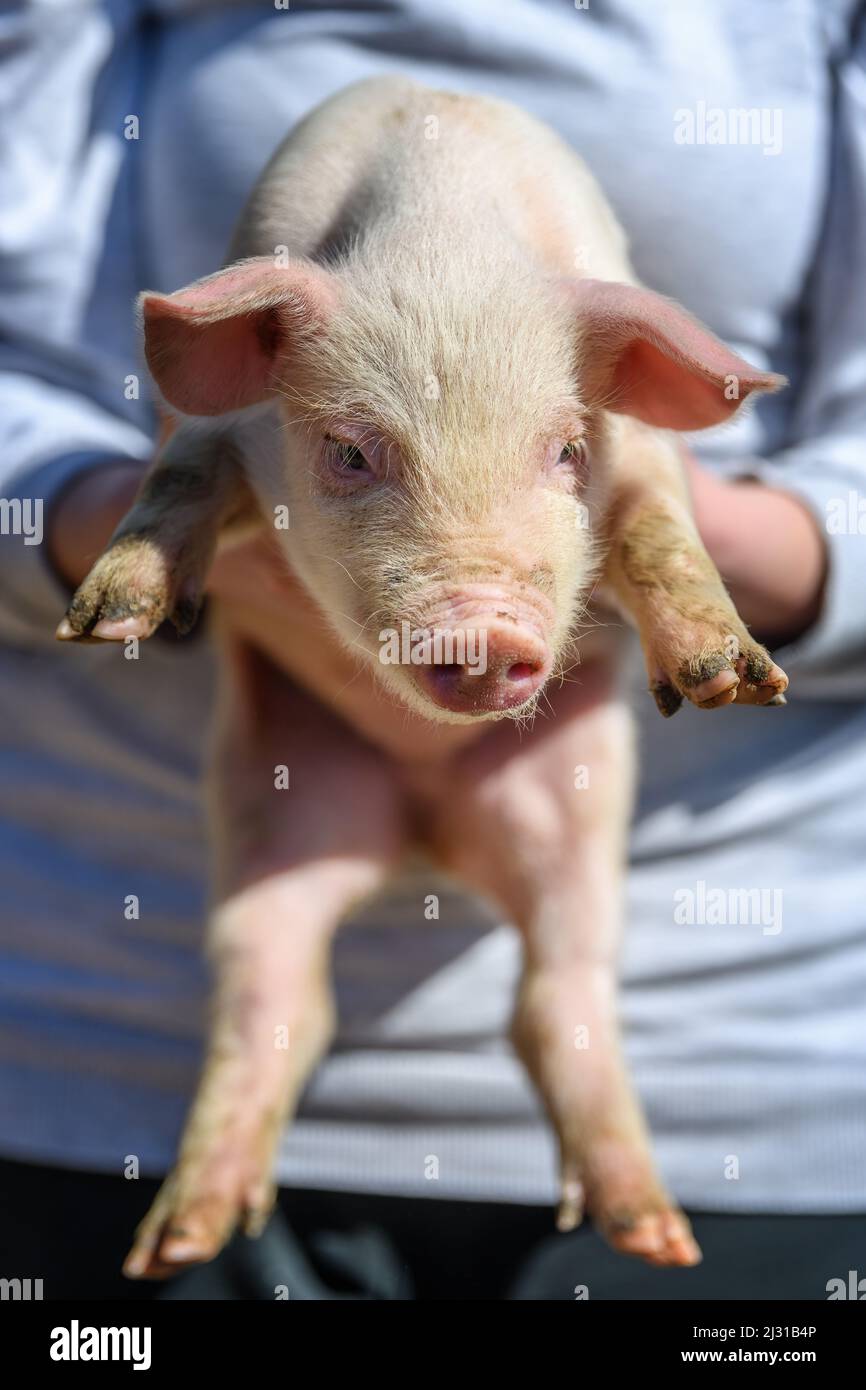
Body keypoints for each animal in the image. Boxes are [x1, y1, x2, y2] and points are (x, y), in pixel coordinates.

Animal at [57, 77, 787, 1278]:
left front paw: (733, 682)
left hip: (572, 808)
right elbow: (177, 479)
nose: (482, 629)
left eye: (565, 452)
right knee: (279, 997)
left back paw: (657, 1237)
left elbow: (658, 535)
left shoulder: (644, 458)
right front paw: (110, 618)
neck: (443, 237)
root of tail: (420, 829)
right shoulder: (220, 426)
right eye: (351, 452)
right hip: (272, 801)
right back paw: (175, 1242)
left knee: (557, 995)